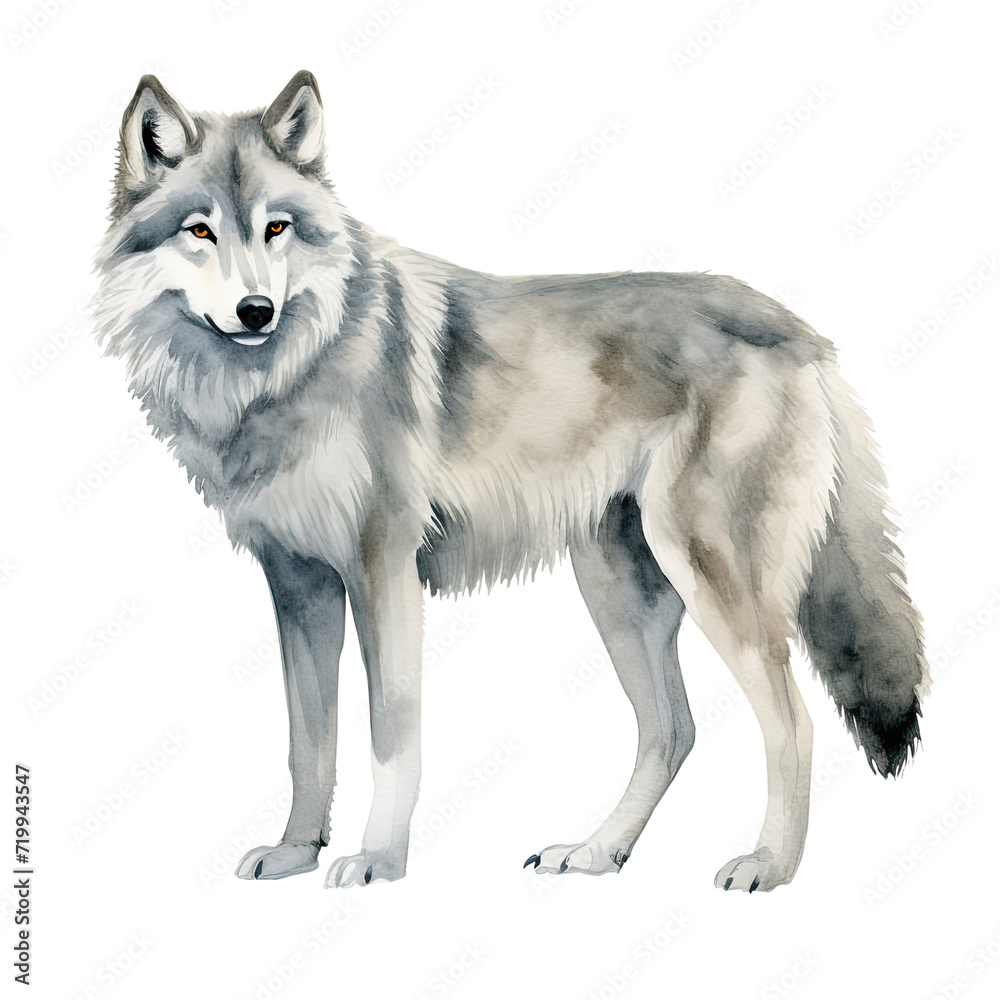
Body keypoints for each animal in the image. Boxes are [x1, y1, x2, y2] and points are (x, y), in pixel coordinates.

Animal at [94, 71, 928, 892]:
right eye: (200, 230)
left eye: (276, 229)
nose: (256, 310)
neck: (280, 379)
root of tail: (802, 331)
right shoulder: (298, 585)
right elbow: (309, 741)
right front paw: (297, 851)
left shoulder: (382, 571)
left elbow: (390, 734)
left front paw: (378, 861)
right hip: (616, 591)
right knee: (673, 729)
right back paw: (595, 853)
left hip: (710, 579)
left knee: (792, 722)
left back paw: (769, 866)